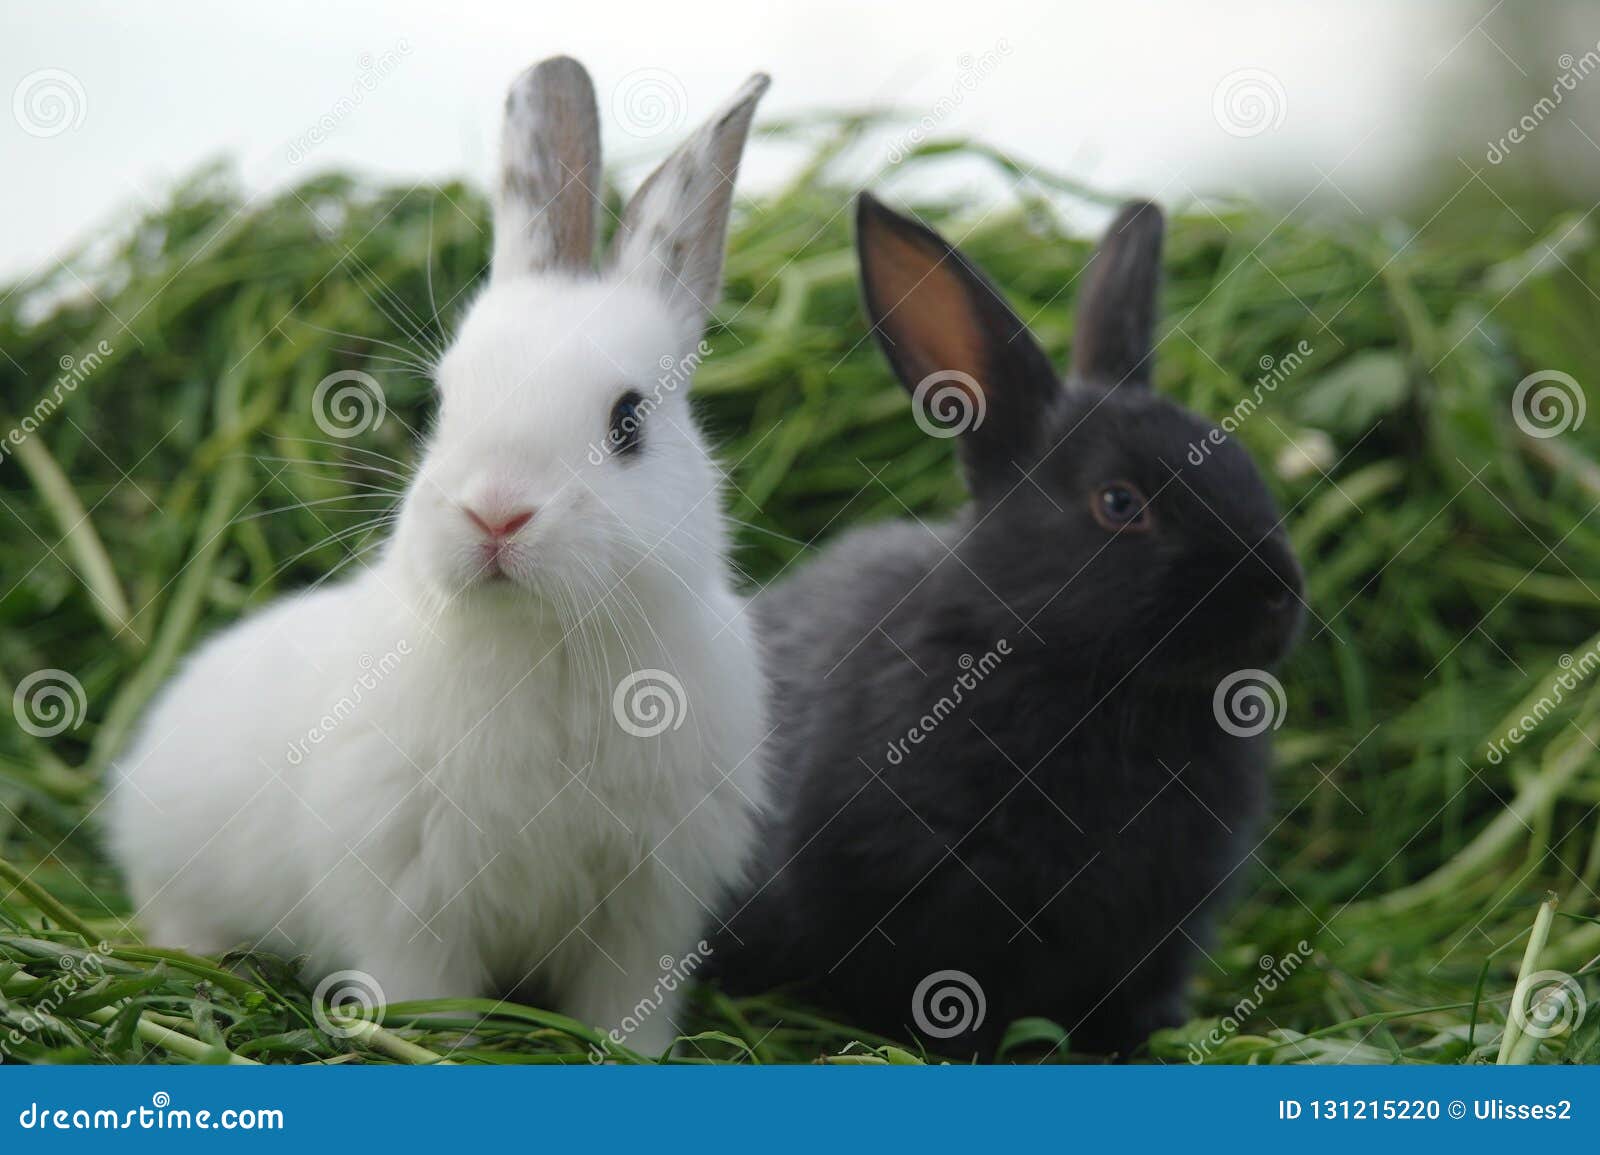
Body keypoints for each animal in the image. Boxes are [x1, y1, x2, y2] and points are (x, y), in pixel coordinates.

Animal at [107, 56, 771, 1056]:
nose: (495, 513)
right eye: (446, 402)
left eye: (628, 421)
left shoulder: (647, 906)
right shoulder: (408, 897)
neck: (546, 645)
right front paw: (440, 1047)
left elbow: (627, 1006)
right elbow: (432, 999)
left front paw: (633, 1056)